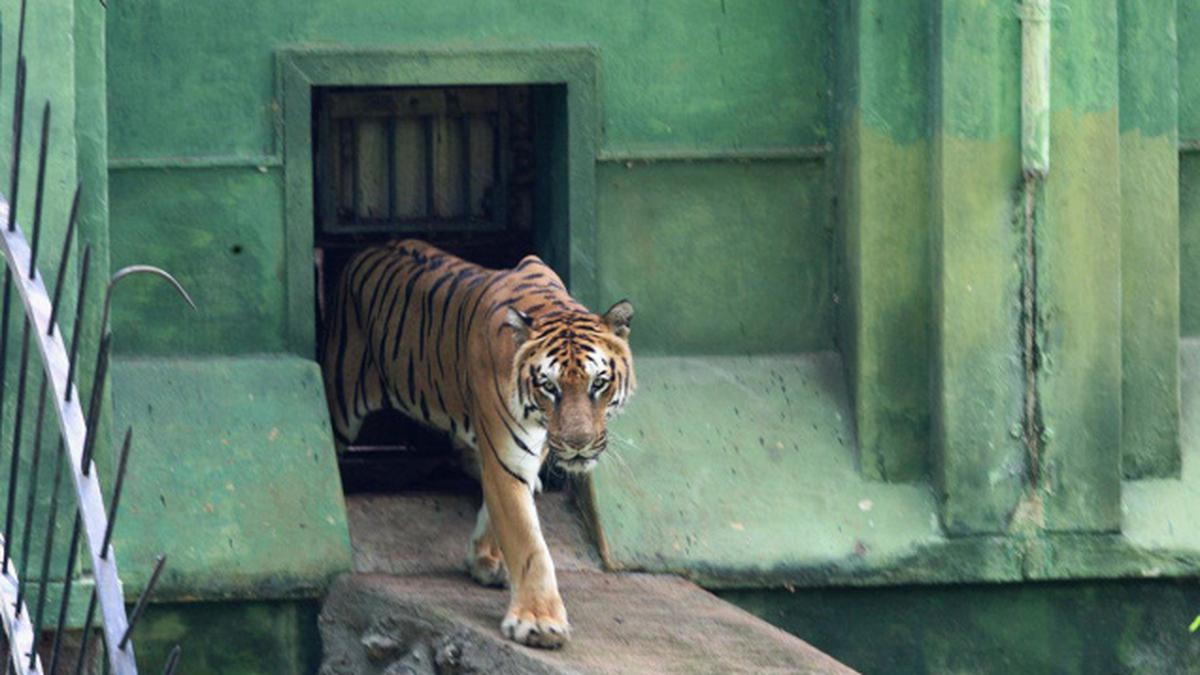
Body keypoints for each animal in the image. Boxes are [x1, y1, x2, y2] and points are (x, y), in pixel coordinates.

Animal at [322, 238, 635, 648]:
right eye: (548, 386)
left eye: (598, 382)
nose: (577, 444)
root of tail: (375, 244)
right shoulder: (506, 454)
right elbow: (528, 540)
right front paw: (538, 621)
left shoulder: (524, 450)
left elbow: (501, 507)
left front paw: (485, 560)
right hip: (341, 400)